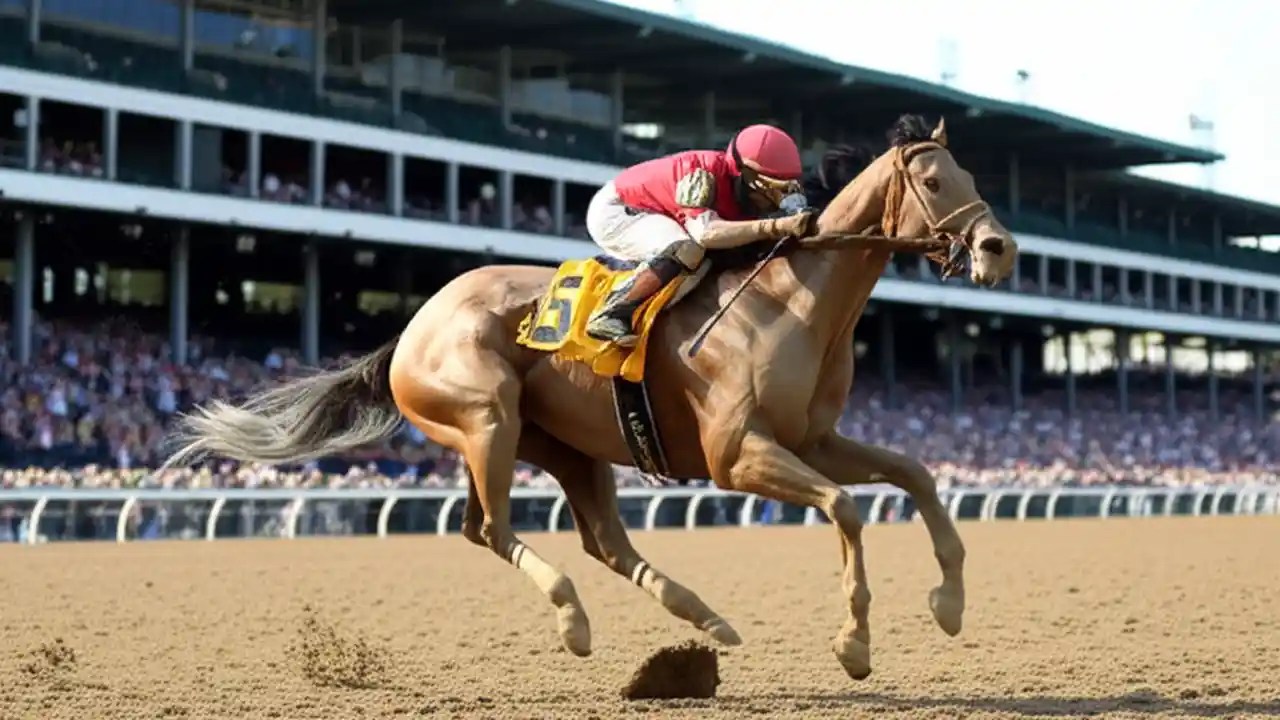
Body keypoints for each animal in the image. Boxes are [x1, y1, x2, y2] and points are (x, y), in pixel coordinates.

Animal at [162, 113, 1018, 681]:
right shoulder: (740, 456)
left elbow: (917, 475)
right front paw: (854, 644)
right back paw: (574, 620)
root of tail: (409, 330)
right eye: (934, 181)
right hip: (487, 418)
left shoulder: (813, 440)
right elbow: (845, 508)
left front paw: (949, 603)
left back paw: (706, 618)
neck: (793, 300)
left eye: (976, 179)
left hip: (568, 445)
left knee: (599, 540)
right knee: (490, 527)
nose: (998, 248)